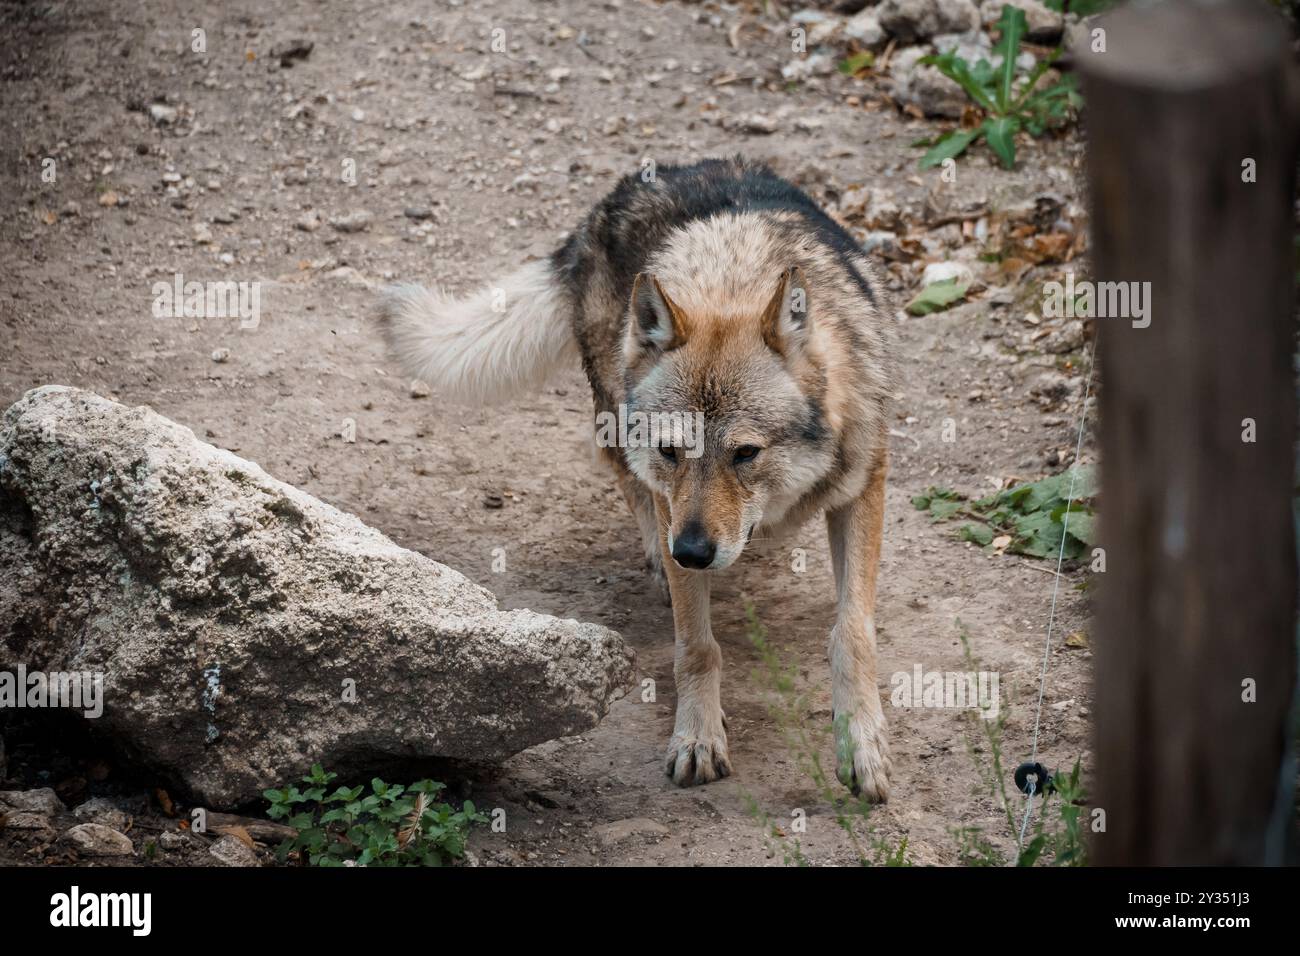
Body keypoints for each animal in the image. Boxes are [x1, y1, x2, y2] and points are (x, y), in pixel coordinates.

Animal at [378, 157, 897, 799]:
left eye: (746, 453)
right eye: (673, 450)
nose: (692, 553)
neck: (734, 279)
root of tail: (613, 199)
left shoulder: (863, 487)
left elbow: (852, 633)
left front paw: (862, 747)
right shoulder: (675, 504)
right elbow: (697, 647)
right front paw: (697, 738)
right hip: (616, 415)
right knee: (625, 478)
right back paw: (655, 554)